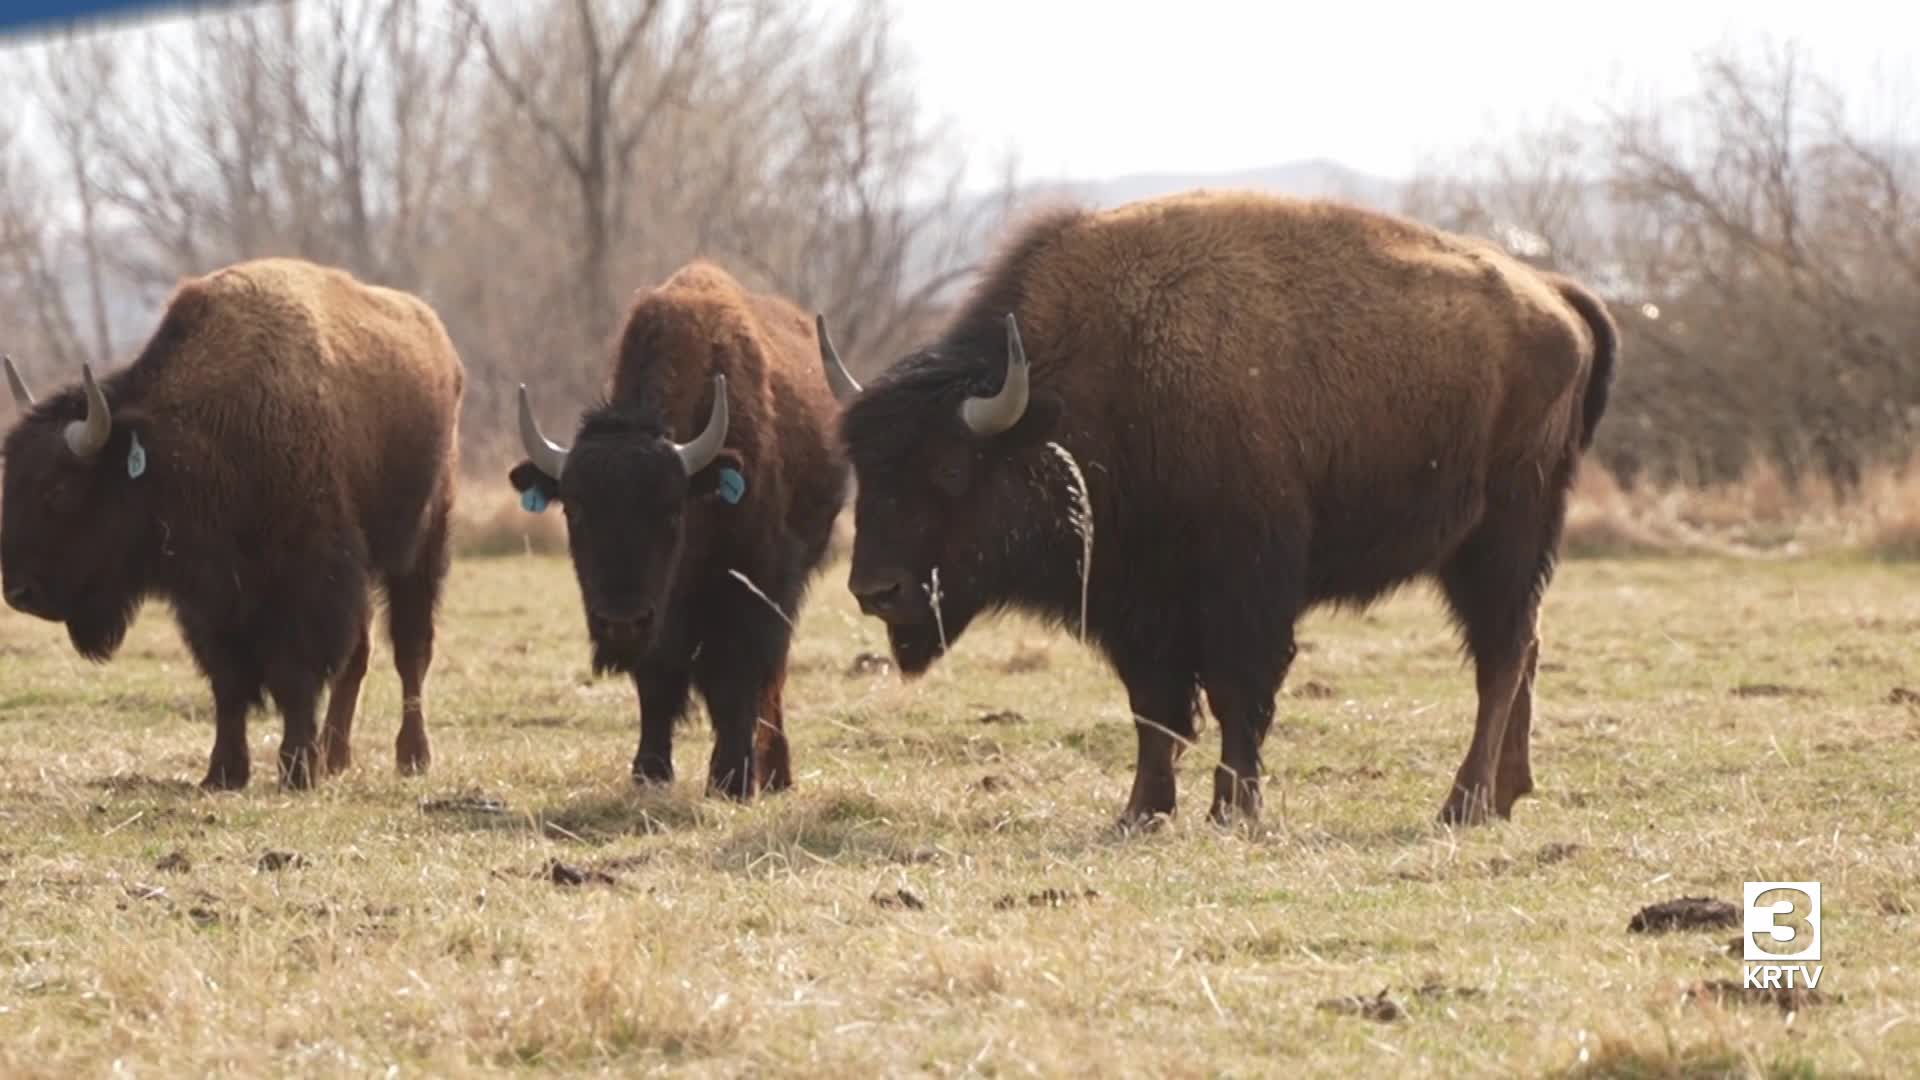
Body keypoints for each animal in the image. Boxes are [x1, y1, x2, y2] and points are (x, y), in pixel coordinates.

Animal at [2, 257, 466, 790]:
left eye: (59, 490)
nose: (18, 592)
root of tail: (440, 344)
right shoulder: (208, 600)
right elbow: (229, 682)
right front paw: (223, 772)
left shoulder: (307, 584)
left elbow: (295, 675)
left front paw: (296, 770)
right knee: (359, 657)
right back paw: (336, 757)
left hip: (423, 545)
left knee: (411, 650)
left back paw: (411, 757)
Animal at [509, 261, 847, 798]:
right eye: (575, 511)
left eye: (671, 511)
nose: (621, 623)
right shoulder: (664, 619)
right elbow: (658, 681)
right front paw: (650, 771)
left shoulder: (754, 585)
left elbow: (737, 678)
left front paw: (732, 779)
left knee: (771, 677)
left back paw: (776, 772)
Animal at [821, 190, 1618, 828]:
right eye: (863, 469)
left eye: (951, 470)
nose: (875, 590)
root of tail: (1556, 294)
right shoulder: (1136, 606)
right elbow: (1154, 708)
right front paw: (1141, 812)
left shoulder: (1244, 589)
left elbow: (1237, 693)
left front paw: (1233, 809)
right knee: (1524, 648)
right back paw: (1507, 793)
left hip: (1504, 535)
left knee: (1501, 657)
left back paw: (1464, 804)